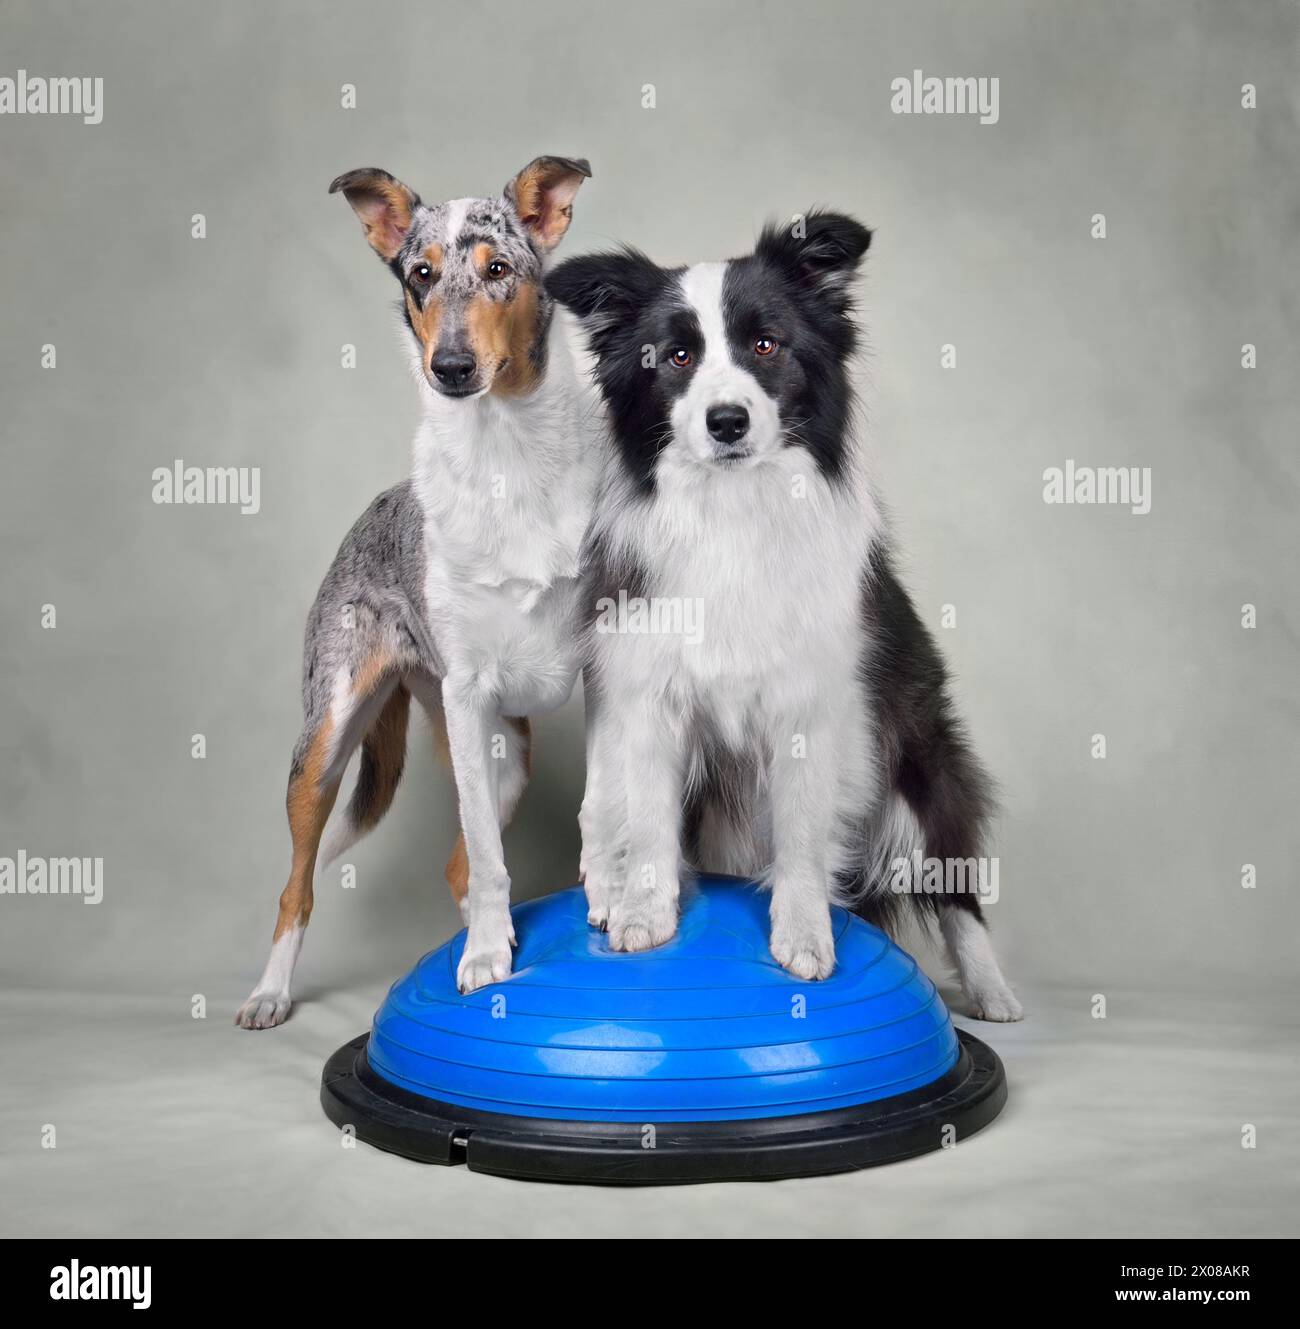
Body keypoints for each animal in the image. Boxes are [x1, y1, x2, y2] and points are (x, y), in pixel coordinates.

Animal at [547, 212, 1026, 1015]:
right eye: (677, 356)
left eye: (766, 345)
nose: (727, 421)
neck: (734, 507)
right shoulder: (650, 695)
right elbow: (647, 822)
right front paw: (644, 913)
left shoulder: (809, 706)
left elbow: (803, 834)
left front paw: (803, 937)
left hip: (921, 767)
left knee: (952, 883)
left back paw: (991, 989)